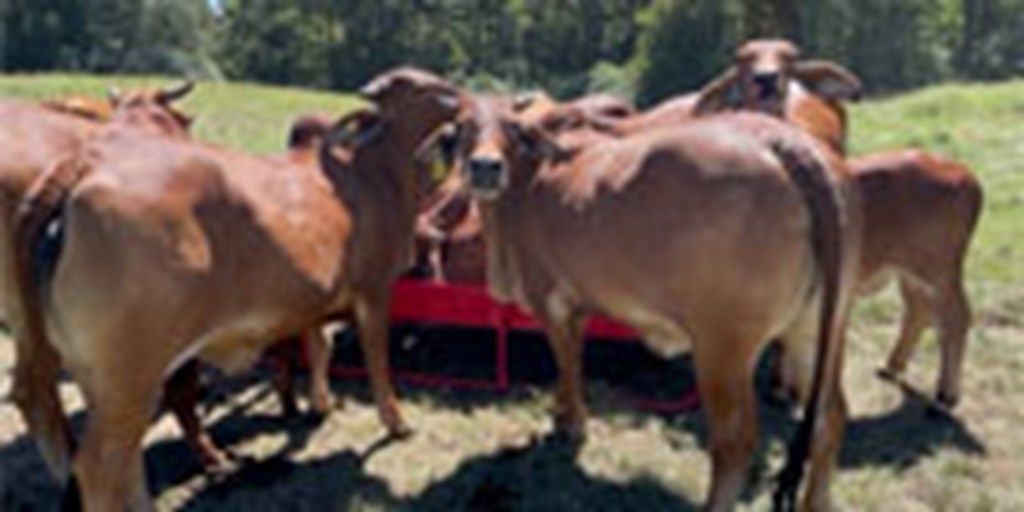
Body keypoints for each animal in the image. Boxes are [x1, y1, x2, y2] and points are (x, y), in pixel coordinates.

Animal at [8, 67, 462, 510]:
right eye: (417, 87)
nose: (458, 97)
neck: (376, 172)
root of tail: (83, 168)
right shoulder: (374, 289)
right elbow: (377, 361)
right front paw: (396, 421)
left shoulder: (310, 301)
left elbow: (319, 348)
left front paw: (320, 404)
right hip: (131, 369)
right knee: (99, 467)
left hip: (95, 373)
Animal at [449, 94, 862, 510]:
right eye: (463, 126)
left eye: (513, 127)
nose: (484, 168)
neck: (528, 185)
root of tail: (786, 142)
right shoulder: (577, 306)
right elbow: (573, 363)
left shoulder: (553, 302)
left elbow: (565, 361)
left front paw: (570, 423)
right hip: (817, 331)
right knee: (831, 419)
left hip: (723, 347)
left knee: (735, 442)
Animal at [695, 39, 983, 408]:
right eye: (741, 61)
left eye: (790, 59)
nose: (767, 80)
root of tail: (961, 172)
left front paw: (793, 390)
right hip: (912, 270)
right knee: (919, 310)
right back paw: (892, 366)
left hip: (941, 269)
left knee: (957, 318)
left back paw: (946, 393)